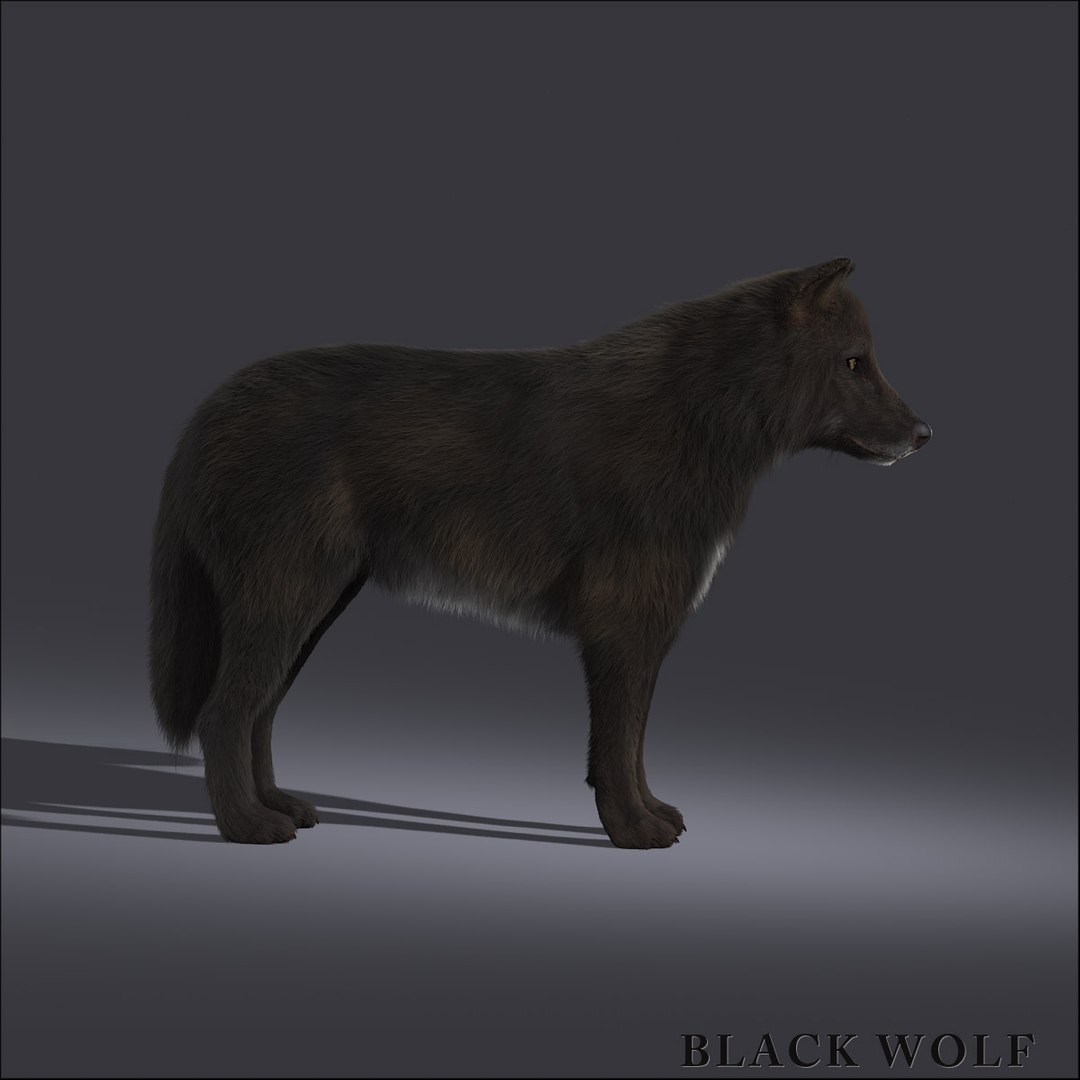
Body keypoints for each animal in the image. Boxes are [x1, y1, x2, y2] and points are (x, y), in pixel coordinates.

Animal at [149, 258, 931, 848]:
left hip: (310, 608)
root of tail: (207, 409)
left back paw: (280, 805)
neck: (697, 415)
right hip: (287, 601)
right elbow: (615, 746)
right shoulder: (622, 630)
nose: (926, 434)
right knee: (226, 713)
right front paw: (632, 832)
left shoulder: (642, 635)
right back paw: (248, 826)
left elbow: (631, 744)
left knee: (260, 713)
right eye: (854, 363)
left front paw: (650, 813)